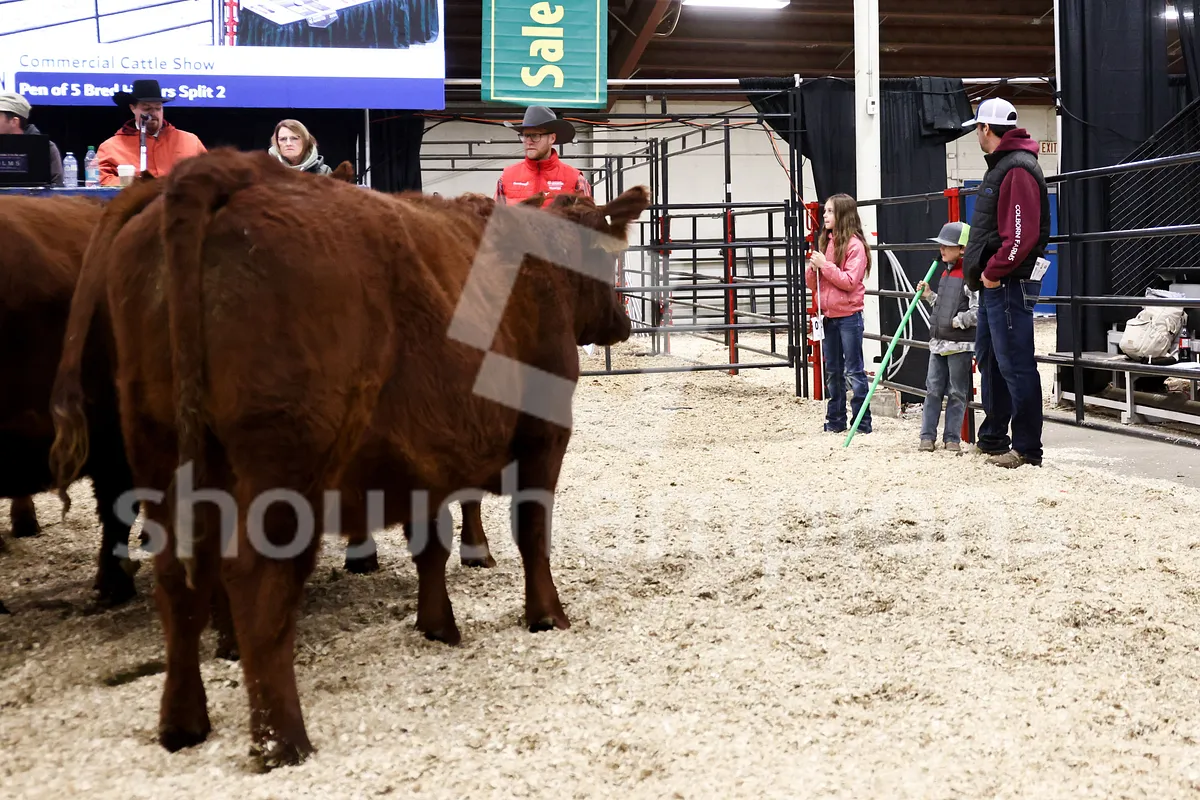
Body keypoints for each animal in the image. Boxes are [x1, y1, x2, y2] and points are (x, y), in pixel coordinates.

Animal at [50, 148, 647, 768]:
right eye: (608, 258)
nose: (624, 322)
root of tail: (228, 169)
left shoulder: (424, 452)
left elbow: (430, 544)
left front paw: (437, 626)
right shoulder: (544, 433)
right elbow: (531, 533)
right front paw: (547, 615)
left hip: (156, 444)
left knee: (175, 578)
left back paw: (183, 723)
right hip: (282, 462)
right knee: (256, 580)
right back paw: (282, 740)